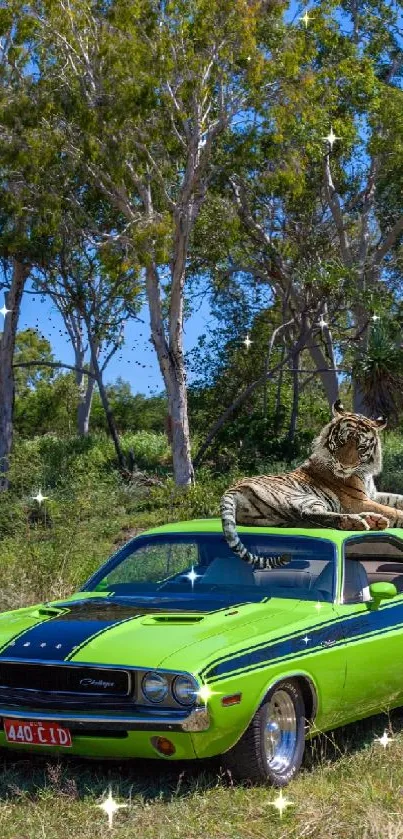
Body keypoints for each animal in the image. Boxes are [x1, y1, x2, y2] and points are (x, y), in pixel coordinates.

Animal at [220, 400, 403, 569]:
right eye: (341, 441)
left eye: (361, 447)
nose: (344, 466)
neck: (364, 472)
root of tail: (233, 489)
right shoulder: (358, 501)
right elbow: (394, 512)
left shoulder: (373, 495)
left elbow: (396, 499)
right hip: (302, 496)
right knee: (309, 513)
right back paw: (359, 521)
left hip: (276, 518)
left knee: (305, 519)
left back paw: (373, 520)